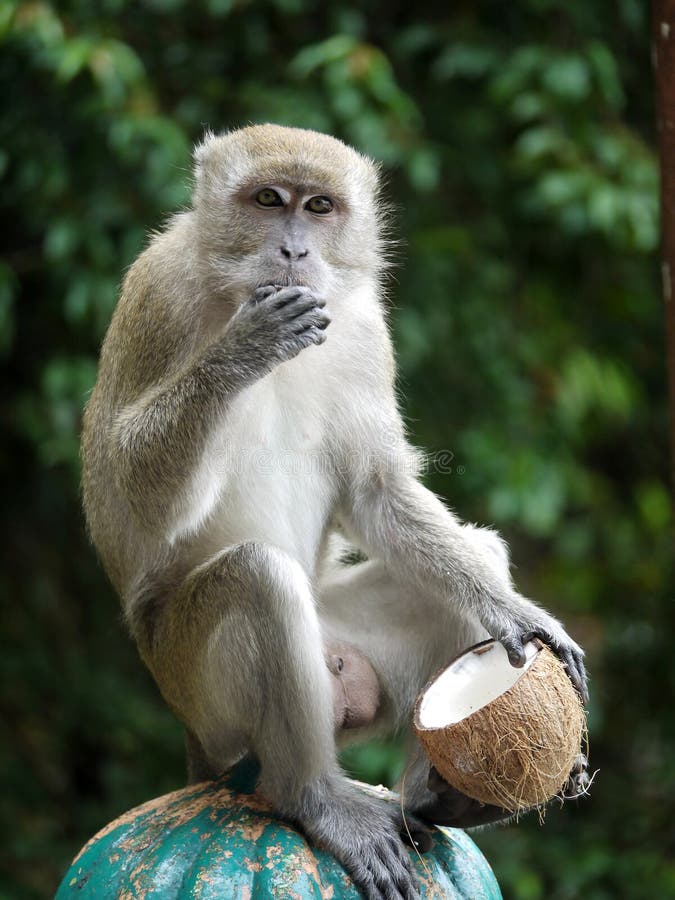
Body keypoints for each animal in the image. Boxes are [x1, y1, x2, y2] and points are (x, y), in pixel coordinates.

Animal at [81, 124, 588, 900]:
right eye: (268, 200)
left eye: (318, 207)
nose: (294, 250)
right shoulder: (155, 294)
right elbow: (125, 500)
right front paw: (244, 348)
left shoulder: (364, 328)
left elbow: (376, 490)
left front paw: (518, 616)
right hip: (199, 695)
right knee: (259, 578)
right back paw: (314, 798)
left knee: (470, 554)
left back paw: (440, 794)